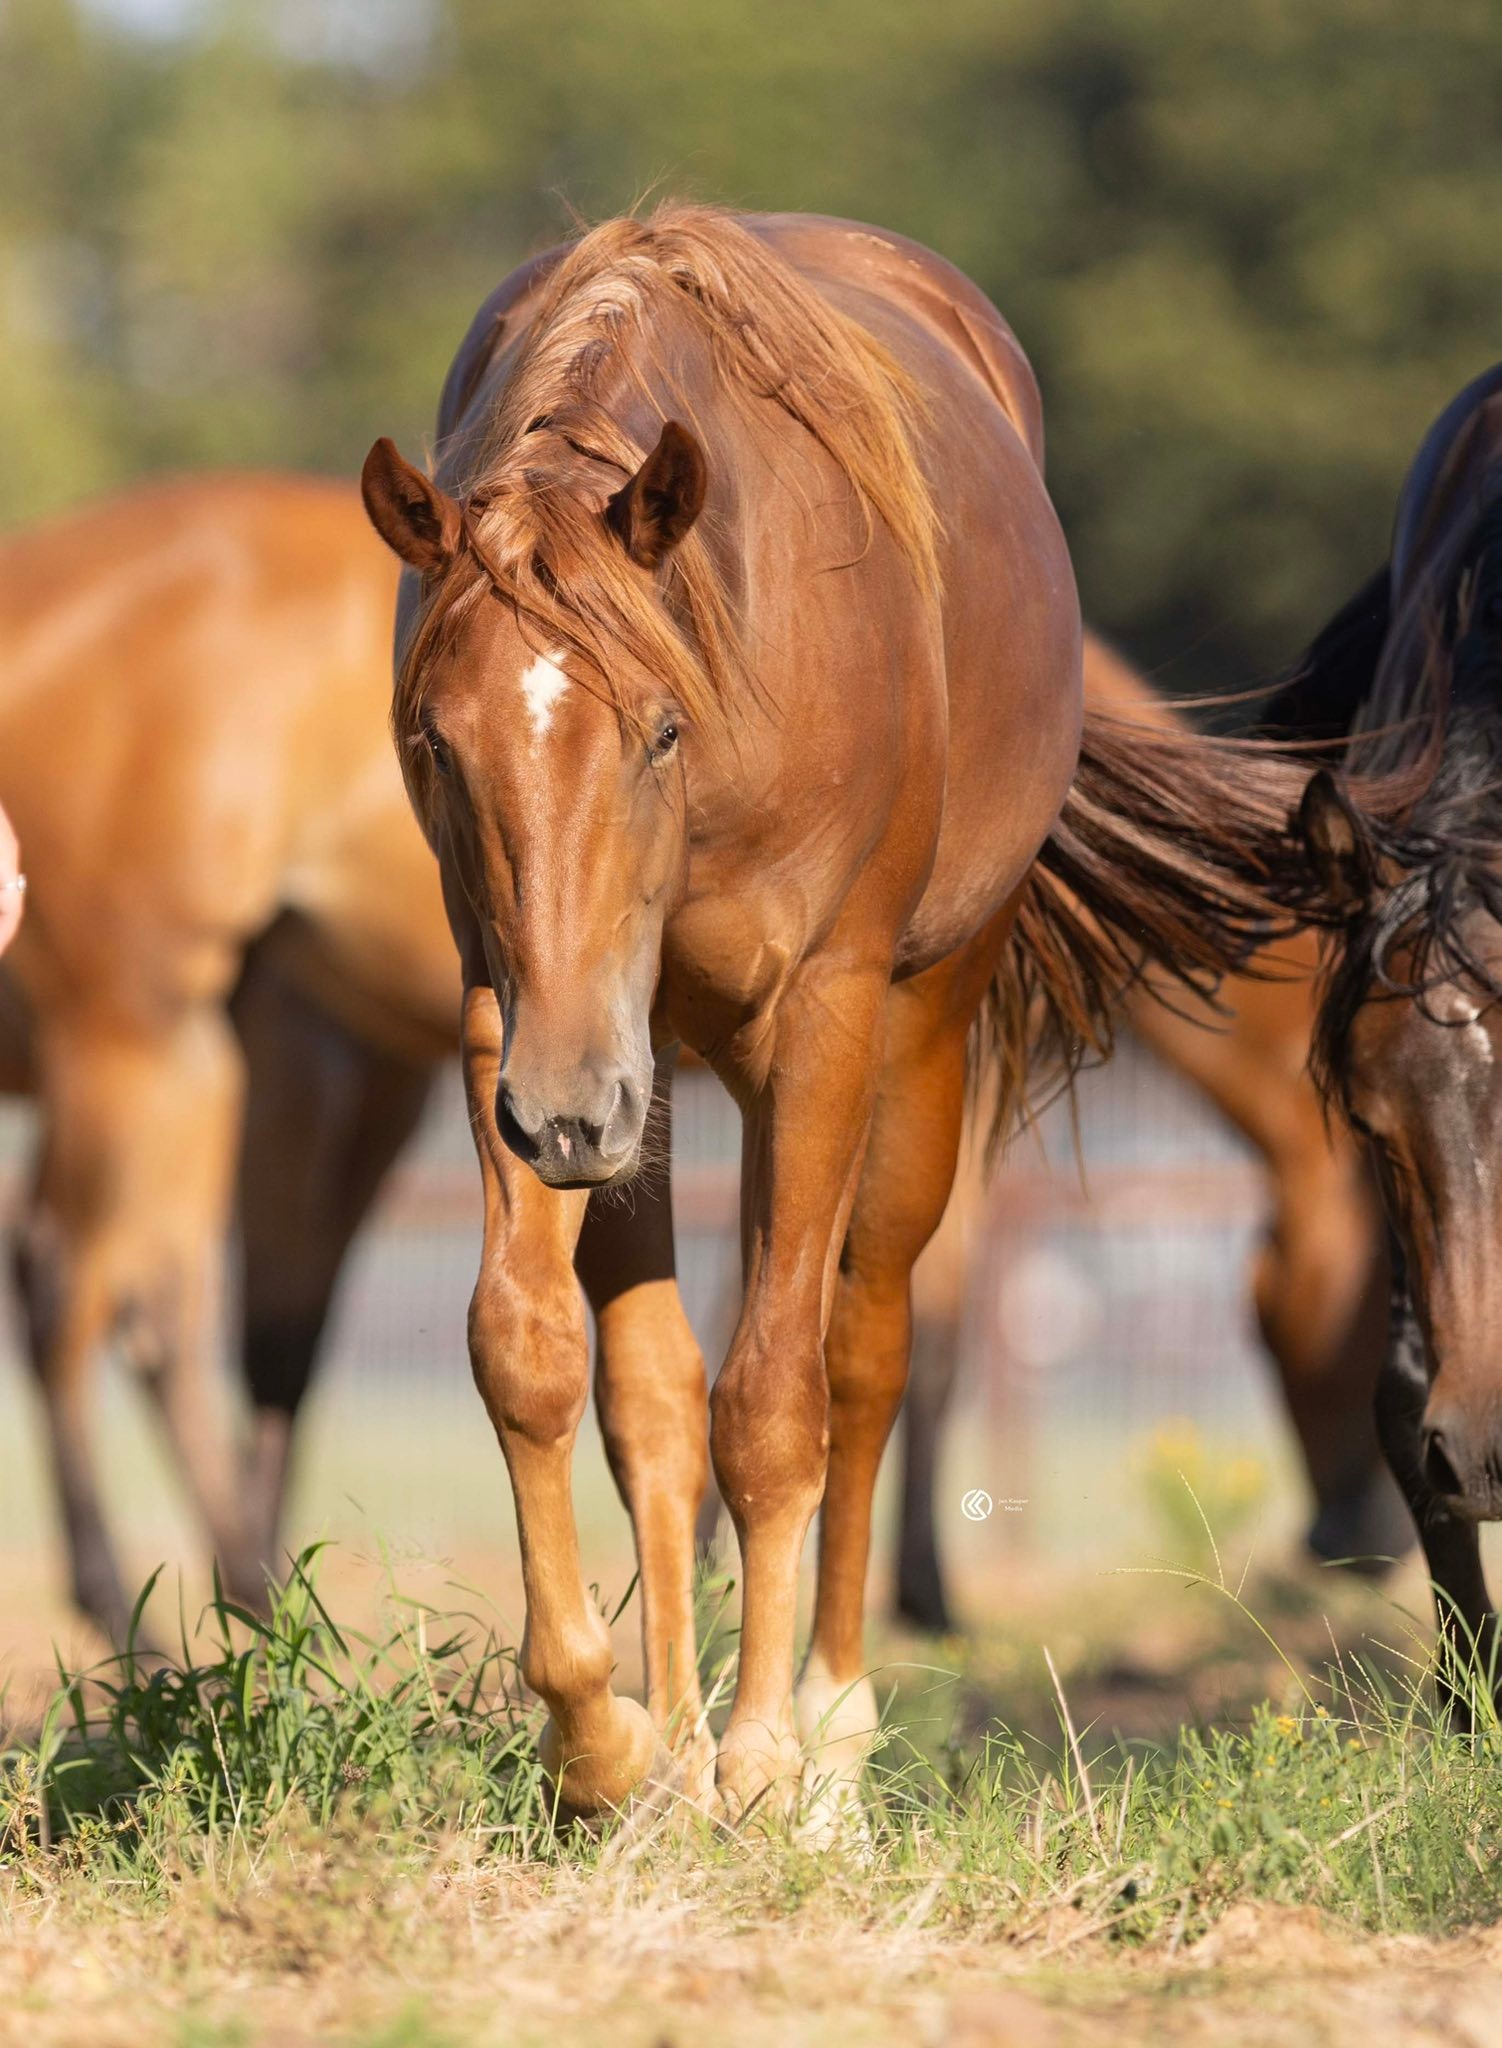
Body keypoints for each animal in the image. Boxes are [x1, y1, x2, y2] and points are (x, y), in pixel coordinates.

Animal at [361, 203, 1318, 1823]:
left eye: (659, 727)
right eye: (437, 740)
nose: (564, 1114)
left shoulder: (812, 1031)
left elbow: (776, 1402)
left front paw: (760, 1762)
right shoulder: (528, 1027)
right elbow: (540, 1356)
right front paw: (610, 1742)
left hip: (904, 1040)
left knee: (864, 1356)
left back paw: (826, 1734)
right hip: (635, 1086)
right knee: (655, 1398)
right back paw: (681, 1740)